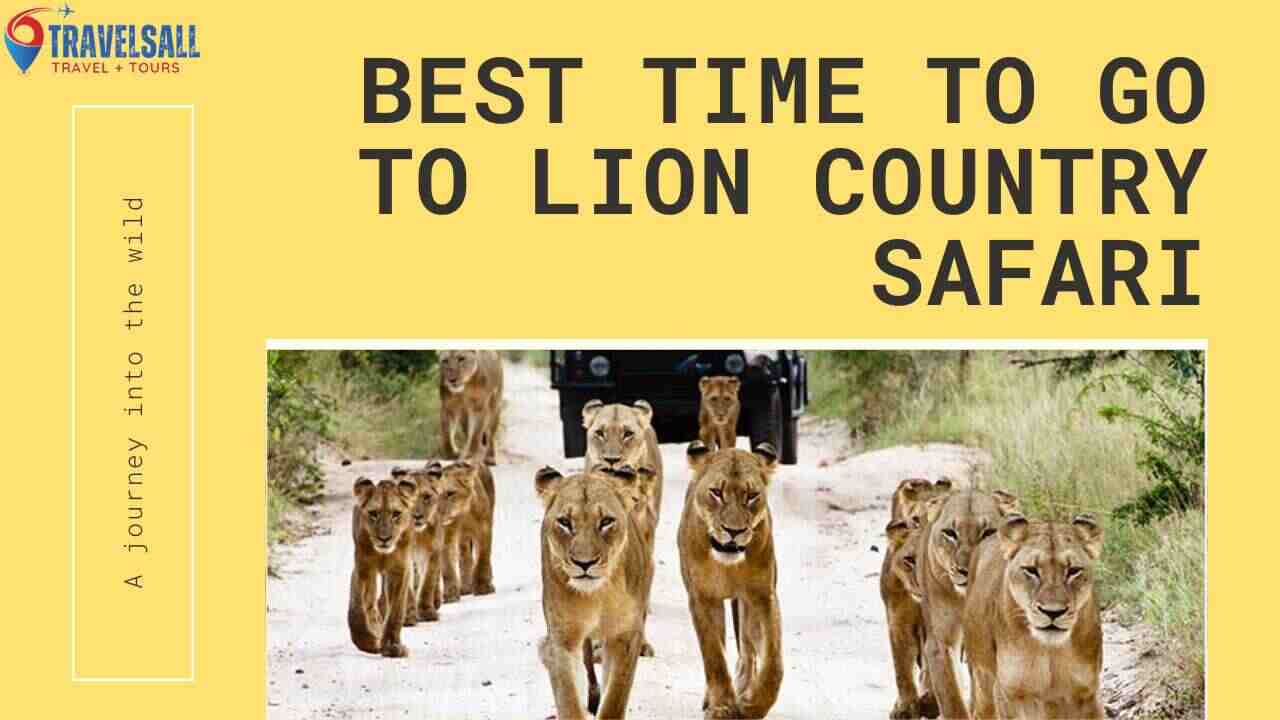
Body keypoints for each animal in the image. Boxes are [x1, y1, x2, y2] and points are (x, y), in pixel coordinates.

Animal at [347, 474, 419, 657]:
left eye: (396, 514)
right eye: (373, 514)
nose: (384, 538)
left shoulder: (400, 570)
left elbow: (395, 611)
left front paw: (392, 646)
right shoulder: (363, 568)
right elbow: (358, 611)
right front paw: (369, 642)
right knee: (369, 604)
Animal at [438, 459, 496, 602]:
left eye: (450, 493)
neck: (462, 513)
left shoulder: (484, 529)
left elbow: (482, 558)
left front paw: (482, 587)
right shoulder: (445, 534)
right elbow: (447, 565)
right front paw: (450, 594)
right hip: (463, 539)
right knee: (464, 556)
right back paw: (465, 587)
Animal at [534, 465, 652, 720]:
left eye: (606, 521)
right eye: (565, 522)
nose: (584, 563)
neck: (598, 595)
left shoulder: (625, 635)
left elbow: (615, 697)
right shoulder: (562, 637)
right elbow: (568, 698)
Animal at [678, 441, 783, 720]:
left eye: (752, 495)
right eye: (716, 492)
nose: (733, 531)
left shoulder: (763, 596)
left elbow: (774, 662)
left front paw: (753, 705)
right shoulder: (702, 598)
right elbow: (714, 656)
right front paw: (722, 706)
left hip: (746, 606)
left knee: (747, 648)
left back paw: (745, 687)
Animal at [963, 513, 1104, 720]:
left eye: (1073, 571)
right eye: (1031, 570)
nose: (1053, 612)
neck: (1049, 651)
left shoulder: (1087, 694)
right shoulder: (1009, 695)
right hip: (982, 685)